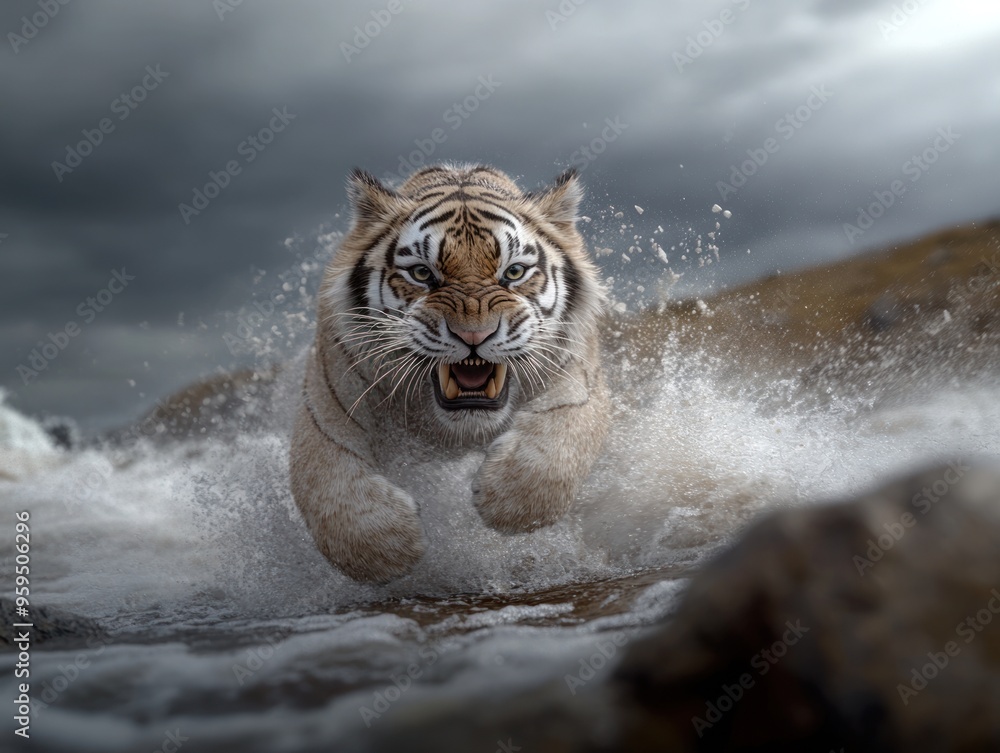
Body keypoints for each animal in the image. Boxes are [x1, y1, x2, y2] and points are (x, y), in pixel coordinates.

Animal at [289, 163, 609, 582]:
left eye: (514, 272)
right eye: (423, 274)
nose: (474, 335)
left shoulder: (577, 379)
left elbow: (555, 451)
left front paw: (505, 504)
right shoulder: (328, 406)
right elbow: (330, 491)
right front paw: (394, 550)